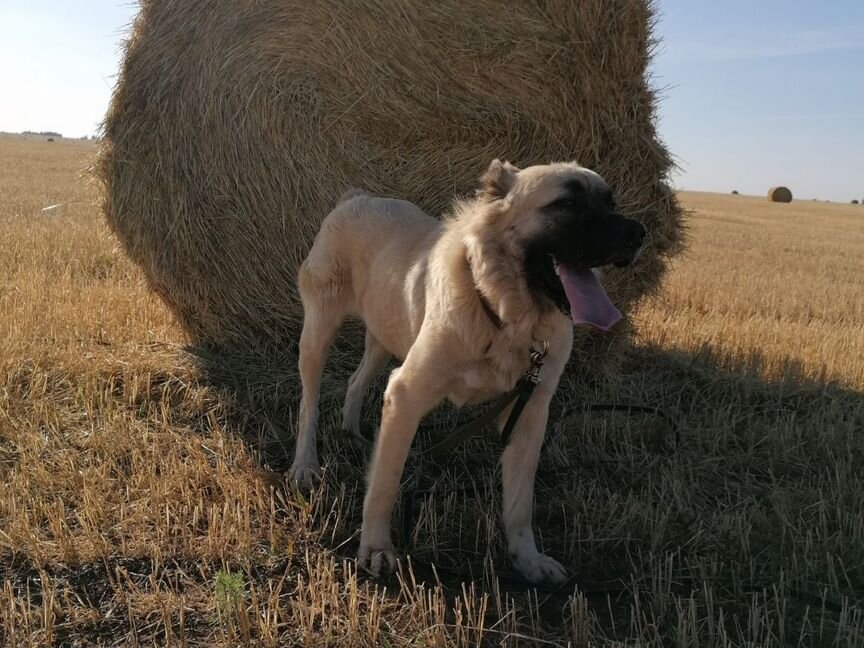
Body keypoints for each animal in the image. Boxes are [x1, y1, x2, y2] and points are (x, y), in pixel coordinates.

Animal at [294, 159, 644, 584]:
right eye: (568, 203)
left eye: (611, 203)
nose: (637, 234)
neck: (503, 314)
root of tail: (357, 197)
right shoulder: (407, 393)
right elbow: (385, 483)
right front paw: (376, 548)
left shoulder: (530, 411)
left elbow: (520, 503)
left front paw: (528, 560)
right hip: (319, 331)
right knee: (309, 404)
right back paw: (305, 464)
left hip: (383, 337)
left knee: (354, 381)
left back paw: (353, 433)